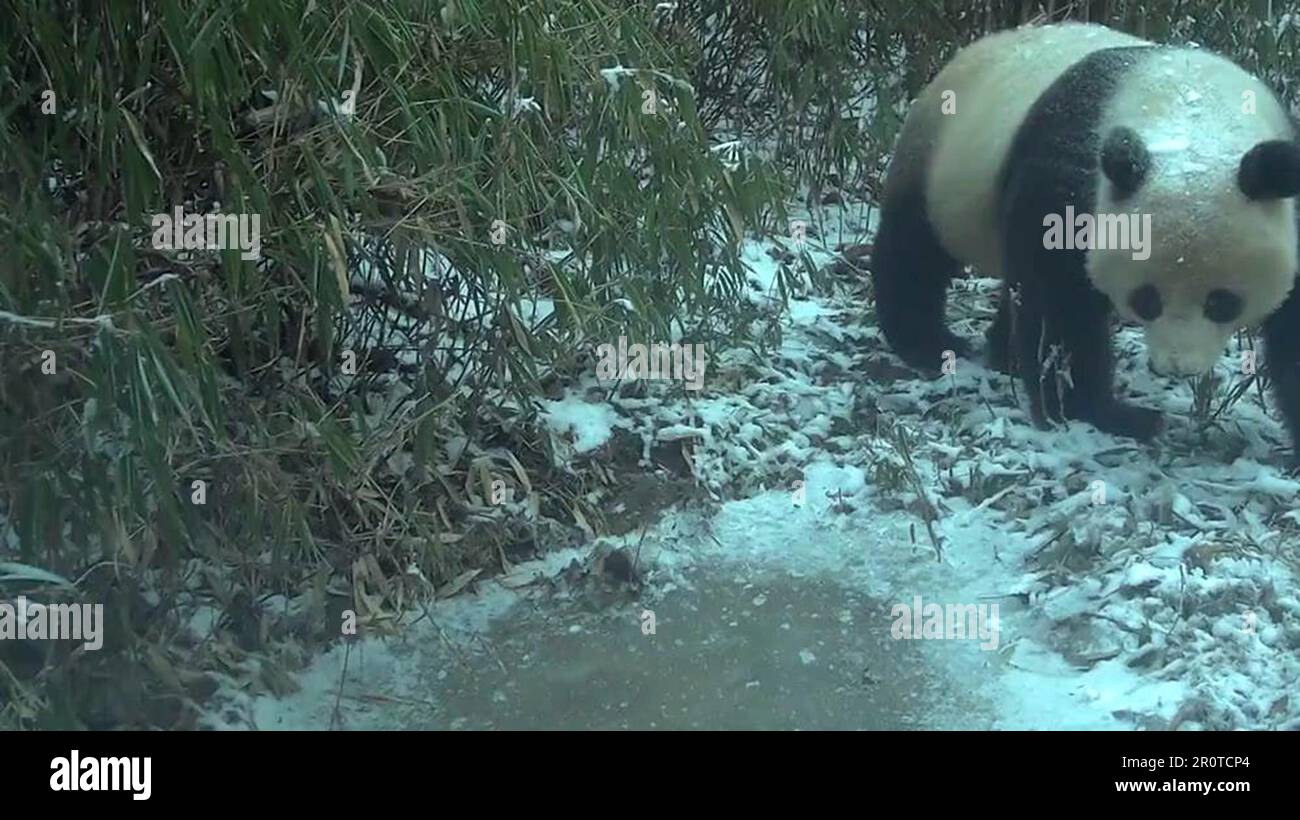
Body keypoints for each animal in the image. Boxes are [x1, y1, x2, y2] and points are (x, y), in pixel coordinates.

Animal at [871, 22, 1300, 460]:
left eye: (1222, 302)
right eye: (1147, 299)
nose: (1177, 368)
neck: (1193, 120)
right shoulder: (1073, 174)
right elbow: (1060, 300)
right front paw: (1110, 413)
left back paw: (1004, 354)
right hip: (942, 166)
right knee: (916, 252)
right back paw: (929, 342)